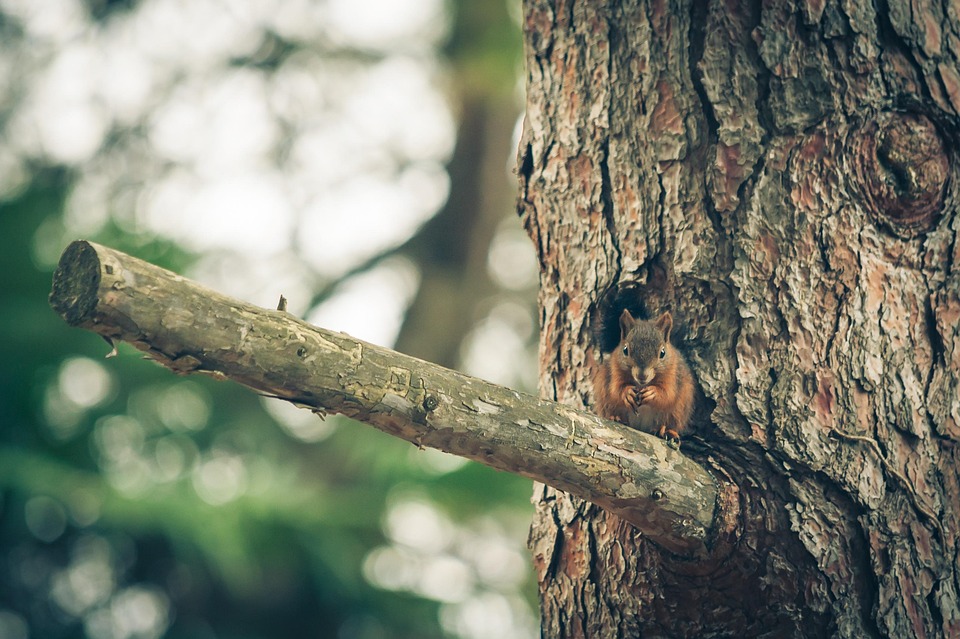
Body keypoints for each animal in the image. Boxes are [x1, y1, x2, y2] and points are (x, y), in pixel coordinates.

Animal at [591, 287, 696, 442]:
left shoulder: (673, 375)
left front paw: (652, 393)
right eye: (625, 350)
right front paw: (627, 393)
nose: (642, 376)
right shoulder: (615, 370)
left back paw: (665, 431)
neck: (641, 385)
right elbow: (615, 389)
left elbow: (668, 394)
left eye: (662, 353)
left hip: (677, 412)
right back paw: (615, 417)